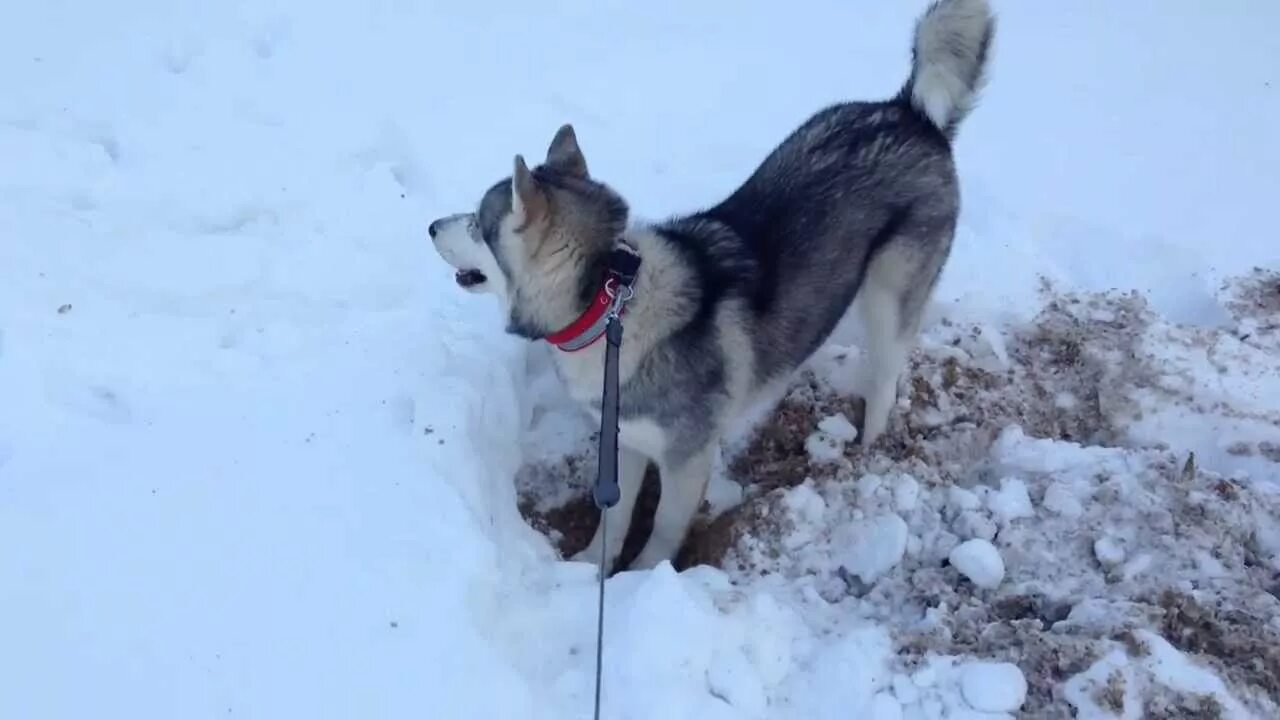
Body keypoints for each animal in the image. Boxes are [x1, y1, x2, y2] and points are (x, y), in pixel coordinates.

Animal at [424, 0, 993, 571]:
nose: (429, 226)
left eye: (475, 223)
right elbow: (614, 518)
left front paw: (641, 581)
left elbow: (661, 529)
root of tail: (911, 112)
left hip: (888, 297)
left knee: (885, 380)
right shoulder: (624, 442)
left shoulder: (687, 460)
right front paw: (588, 572)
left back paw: (868, 449)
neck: (608, 305)